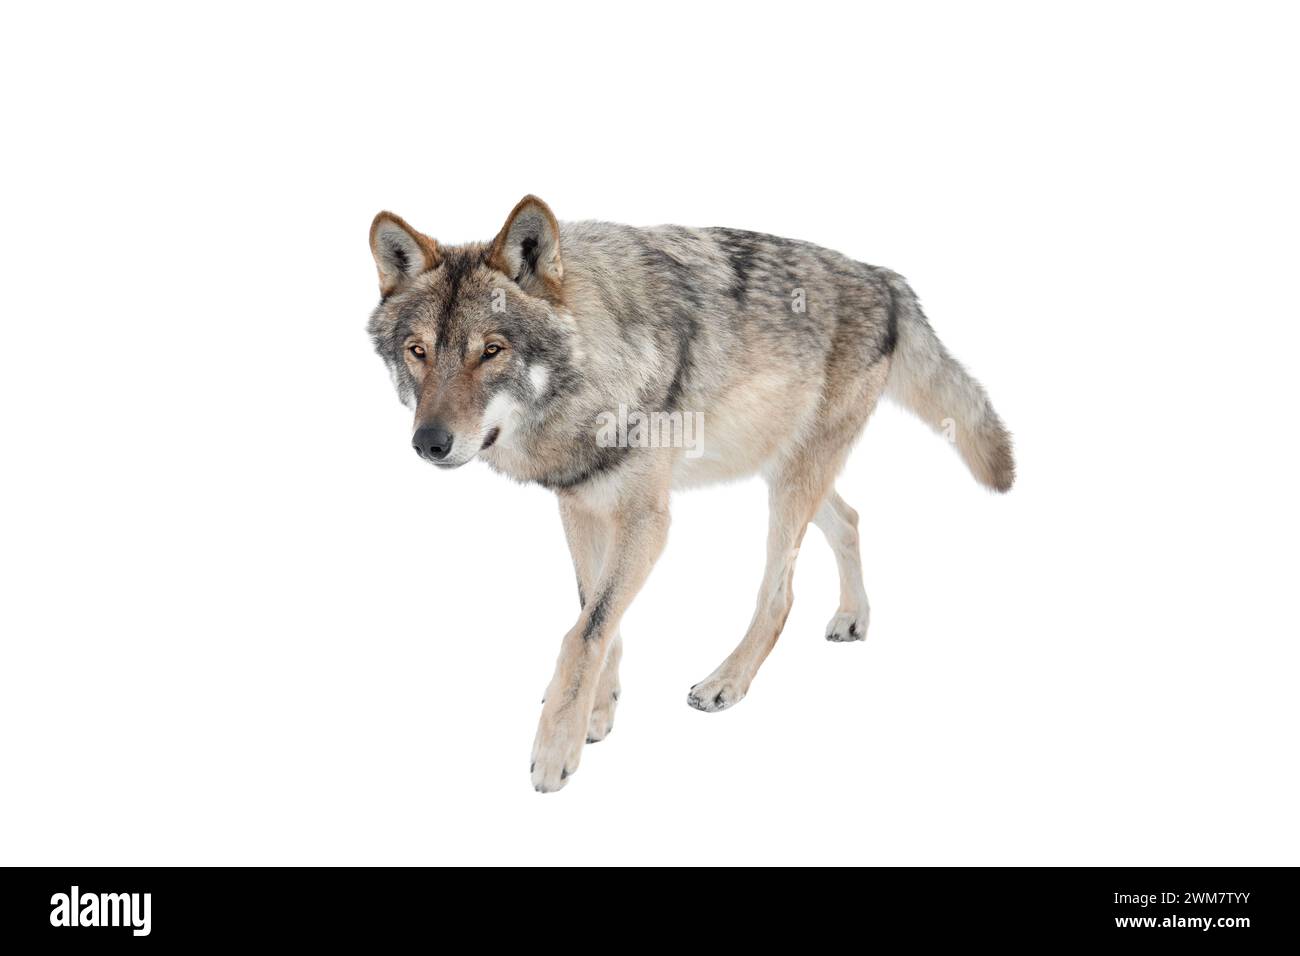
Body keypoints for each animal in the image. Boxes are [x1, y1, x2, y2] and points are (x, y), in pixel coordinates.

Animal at [366, 196, 1014, 792]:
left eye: (492, 350)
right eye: (418, 351)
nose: (429, 442)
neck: (598, 366)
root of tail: (886, 278)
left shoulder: (646, 519)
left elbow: (584, 632)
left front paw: (555, 751)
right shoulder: (581, 506)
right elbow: (594, 615)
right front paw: (597, 713)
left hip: (791, 483)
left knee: (779, 595)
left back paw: (726, 682)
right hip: (785, 468)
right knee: (850, 518)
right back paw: (854, 618)